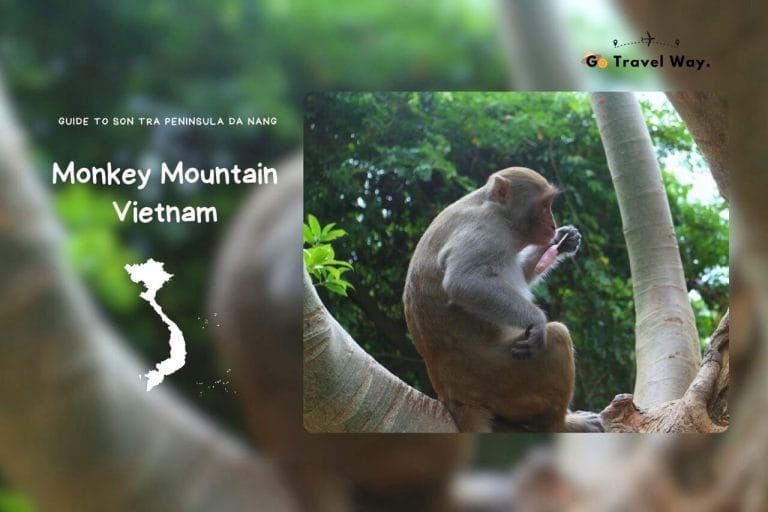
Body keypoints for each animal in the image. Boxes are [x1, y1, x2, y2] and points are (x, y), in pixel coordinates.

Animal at [403, 166, 601, 432]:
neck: (496, 210)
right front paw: (537, 320)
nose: (553, 225)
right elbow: (463, 281)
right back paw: (562, 425)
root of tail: (451, 394)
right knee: (558, 335)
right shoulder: (486, 232)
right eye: (544, 206)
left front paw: (565, 240)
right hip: (500, 379)